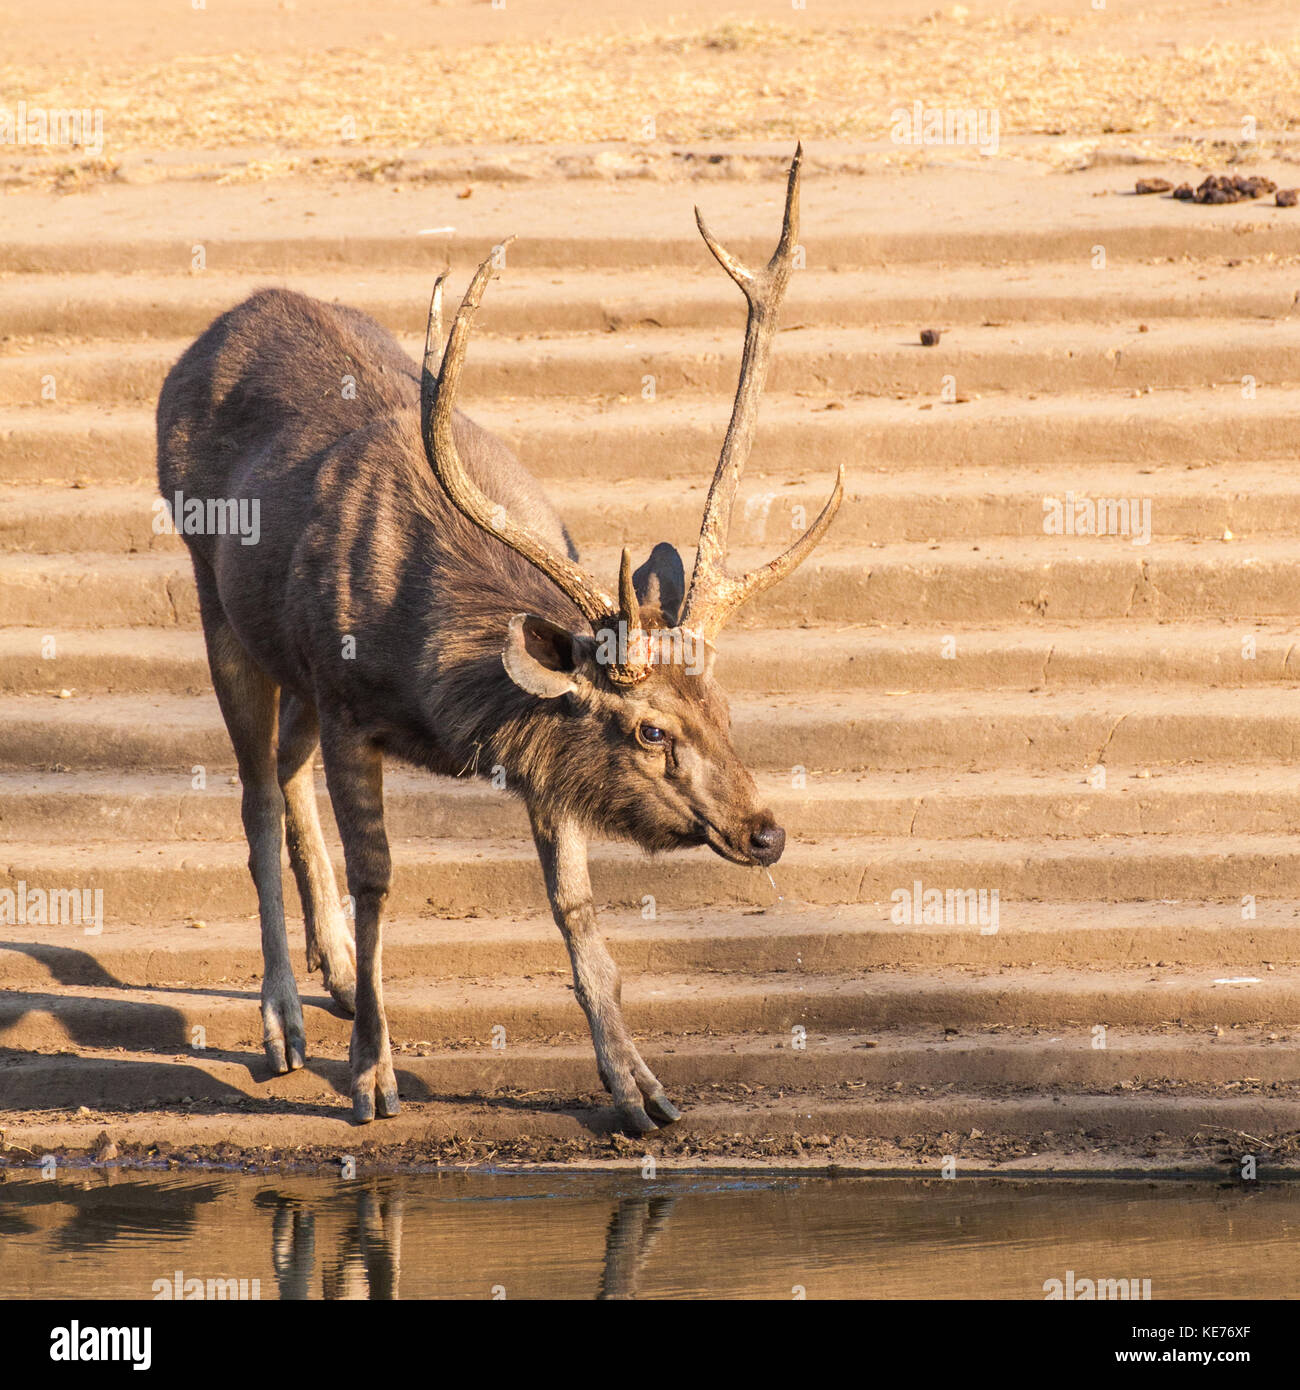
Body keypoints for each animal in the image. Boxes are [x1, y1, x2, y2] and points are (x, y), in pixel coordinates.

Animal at [155, 146, 842, 1133]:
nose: (766, 833)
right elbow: (379, 878)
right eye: (649, 729)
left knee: (284, 769)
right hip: (218, 605)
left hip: (293, 665)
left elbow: (574, 901)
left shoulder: (532, 746)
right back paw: (283, 1020)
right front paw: (373, 1076)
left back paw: (334, 978)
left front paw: (637, 1086)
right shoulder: (352, 704)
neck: (435, 676)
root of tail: (209, 334)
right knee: (251, 796)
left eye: (722, 705)